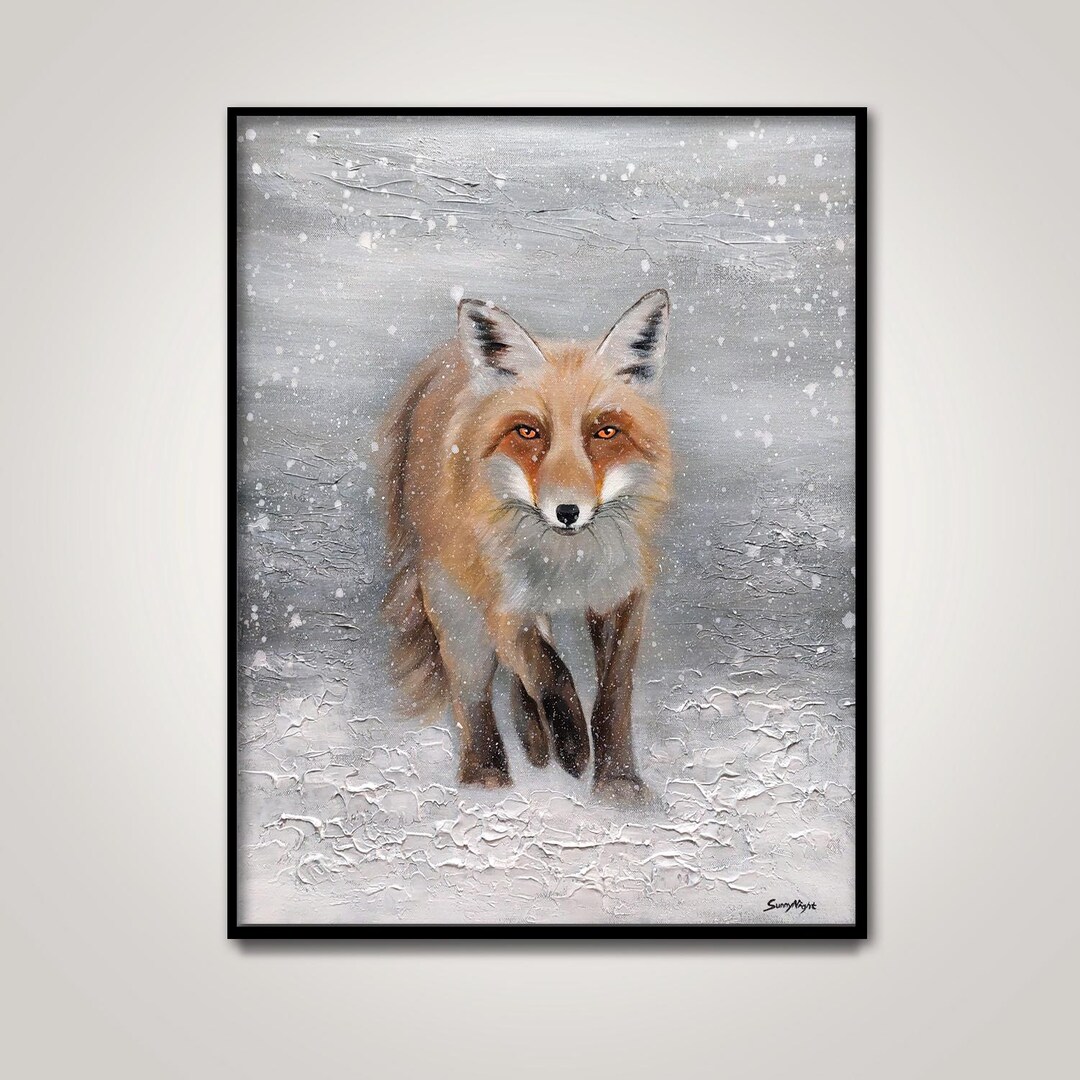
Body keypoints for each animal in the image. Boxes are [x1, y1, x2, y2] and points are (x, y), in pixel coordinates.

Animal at [380, 289, 673, 803]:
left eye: (605, 432)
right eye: (528, 431)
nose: (567, 511)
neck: (569, 564)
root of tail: (443, 358)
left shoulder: (621, 594)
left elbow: (613, 695)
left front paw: (618, 782)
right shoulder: (505, 603)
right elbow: (550, 671)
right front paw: (573, 745)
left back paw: (534, 740)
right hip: (457, 606)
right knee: (474, 692)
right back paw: (485, 774)